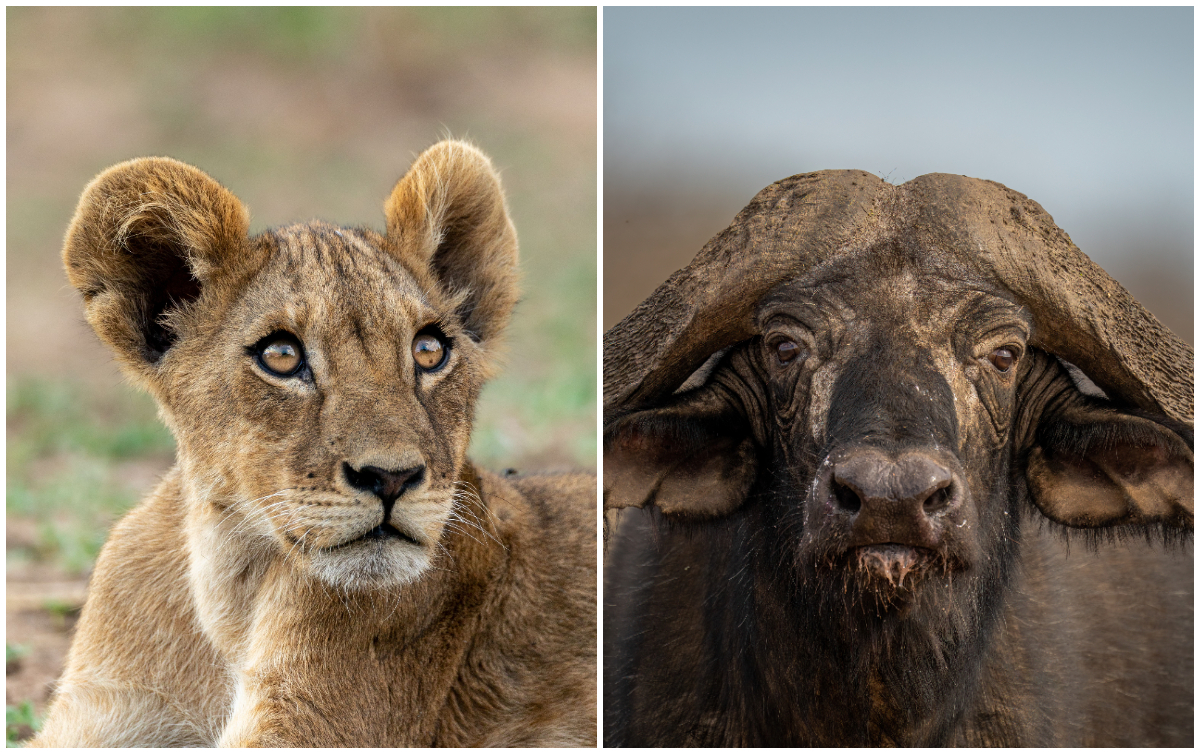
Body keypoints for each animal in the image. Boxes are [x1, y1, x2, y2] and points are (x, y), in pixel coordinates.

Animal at [29, 140, 597, 747]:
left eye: (429, 350)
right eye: (281, 356)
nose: (392, 478)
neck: (225, 589)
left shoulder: (313, 724)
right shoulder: (106, 705)